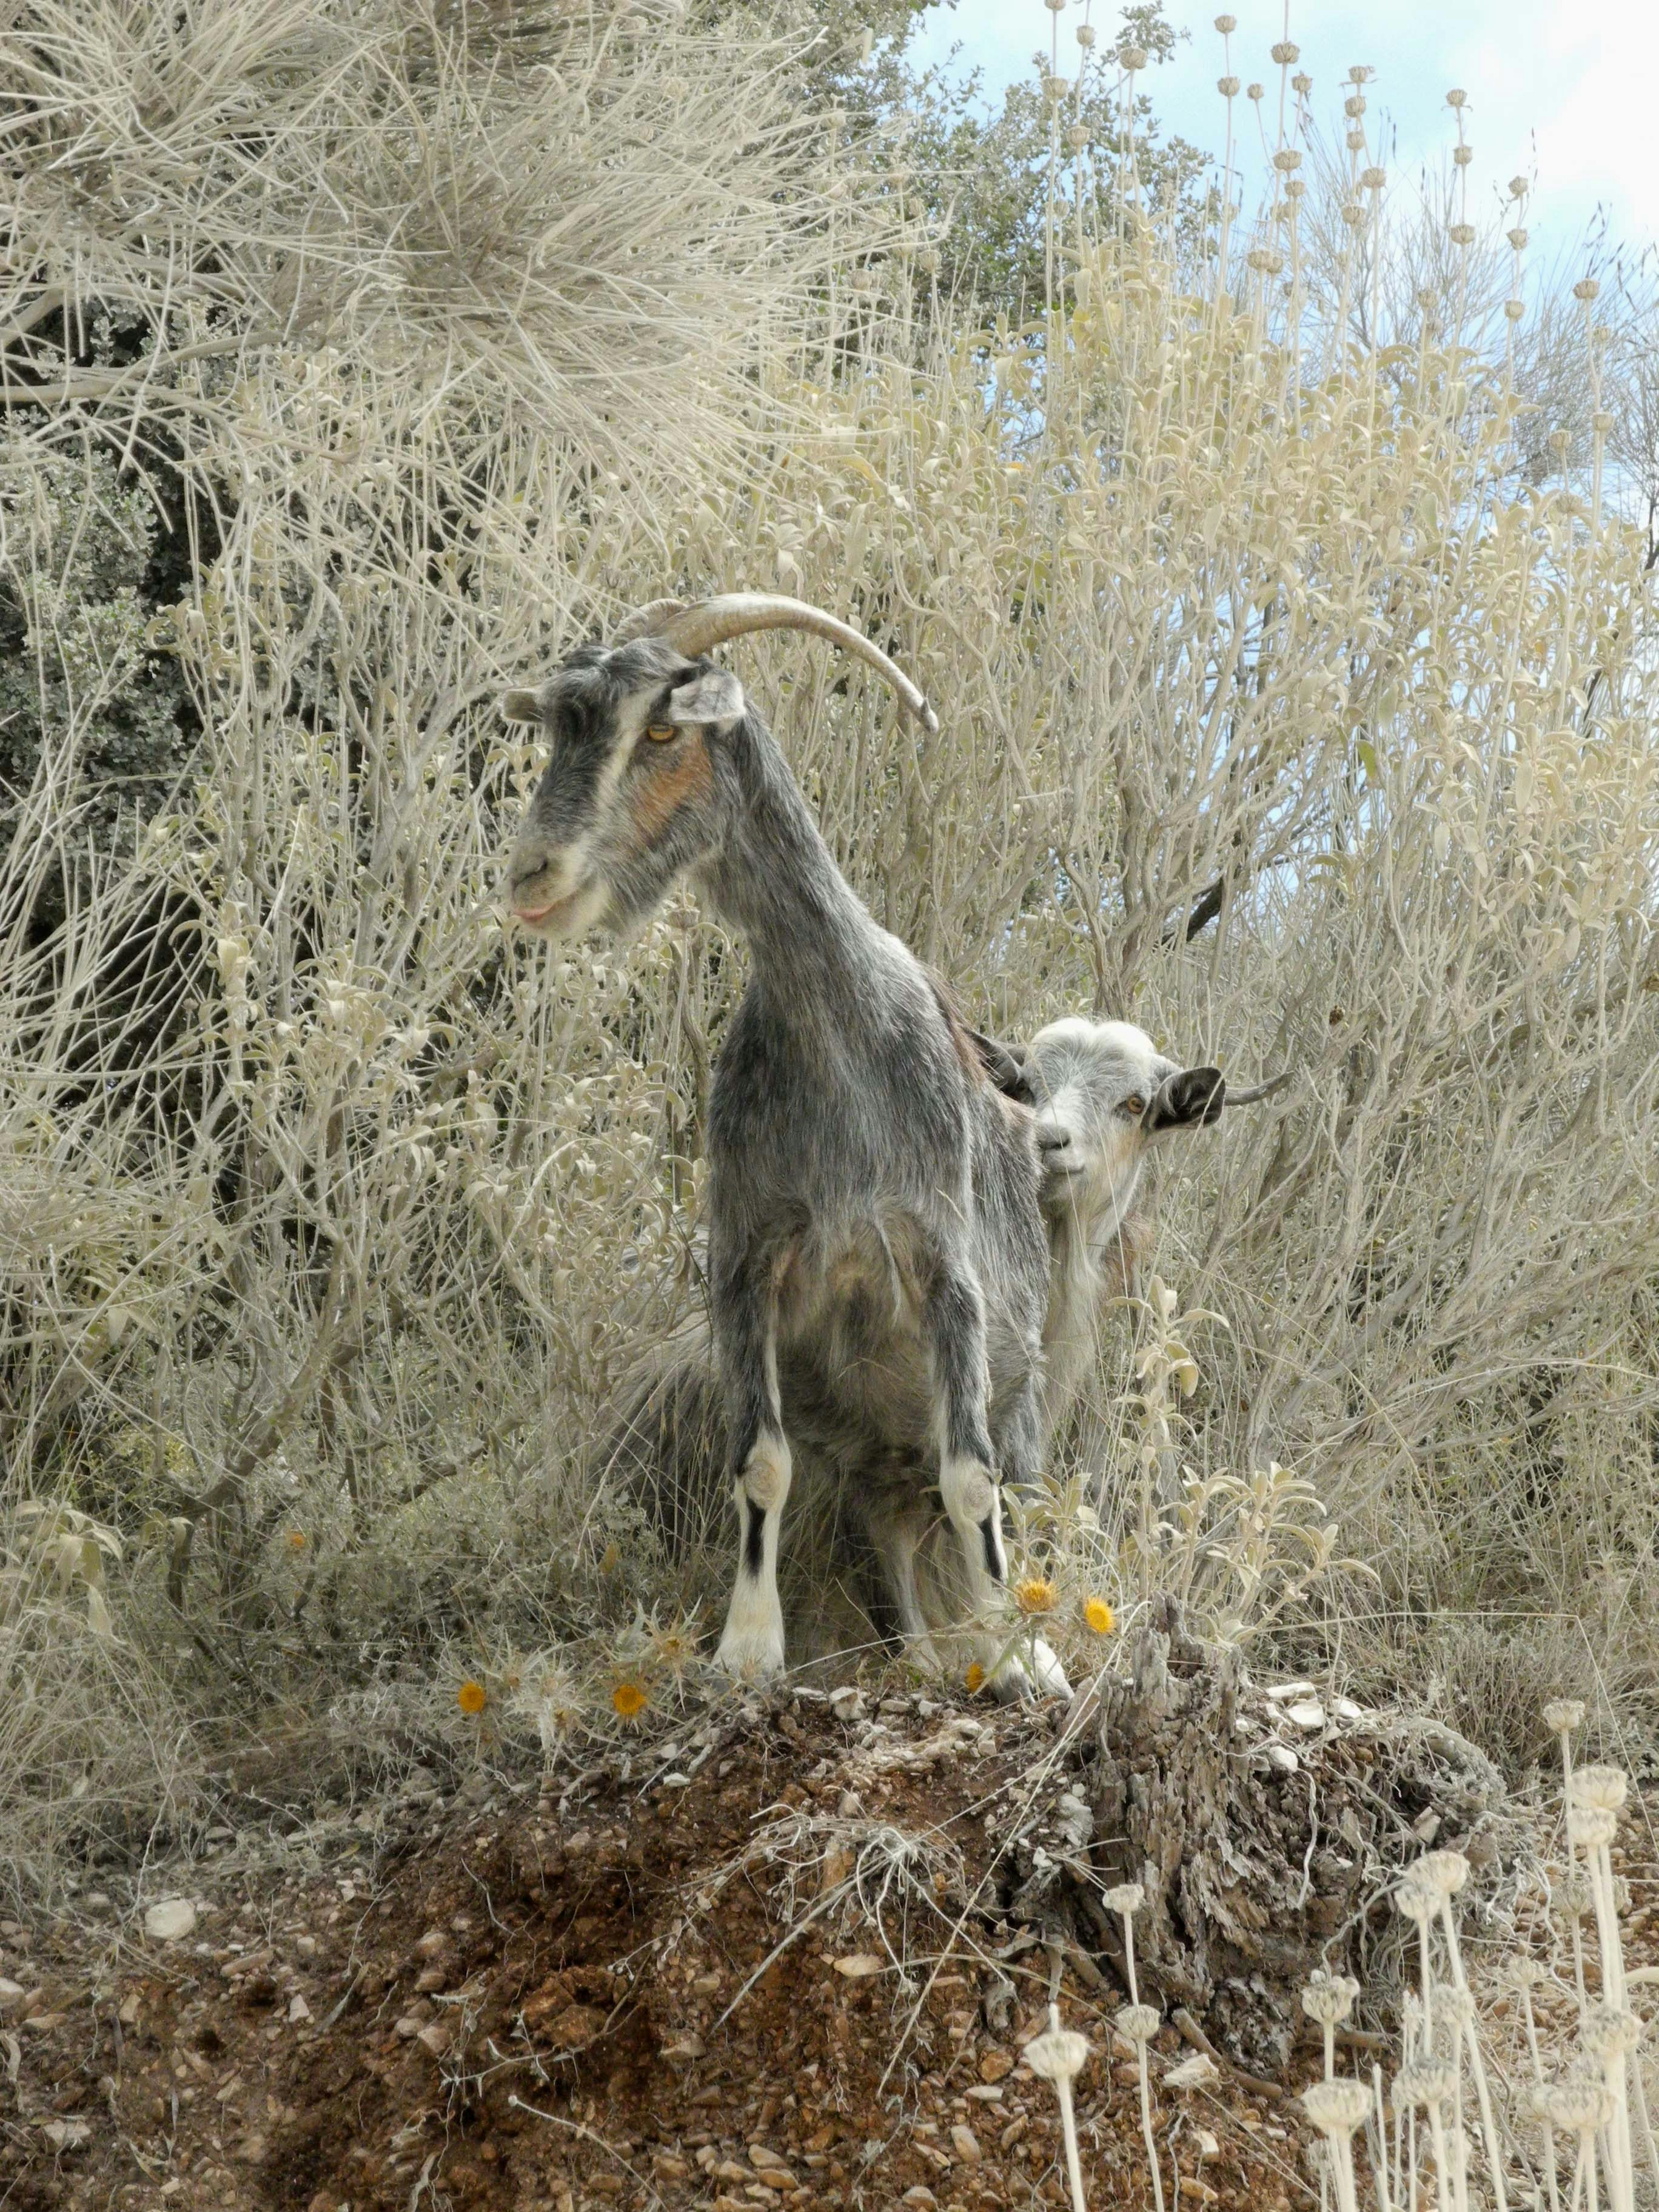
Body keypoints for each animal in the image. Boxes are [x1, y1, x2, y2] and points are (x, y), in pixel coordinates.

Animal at [501, 594, 1063, 1693]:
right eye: (559, 728)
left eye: (661, 731)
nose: (532, 874)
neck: (842, 1030)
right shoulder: (749, 1255)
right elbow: (760, 1464)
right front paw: (750, 1646)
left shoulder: (943, 1262)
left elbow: (973, 1479)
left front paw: (1024, 1653)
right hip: (866, 1470)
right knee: (888, 1534)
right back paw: (926, 1653)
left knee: (995, 1491)